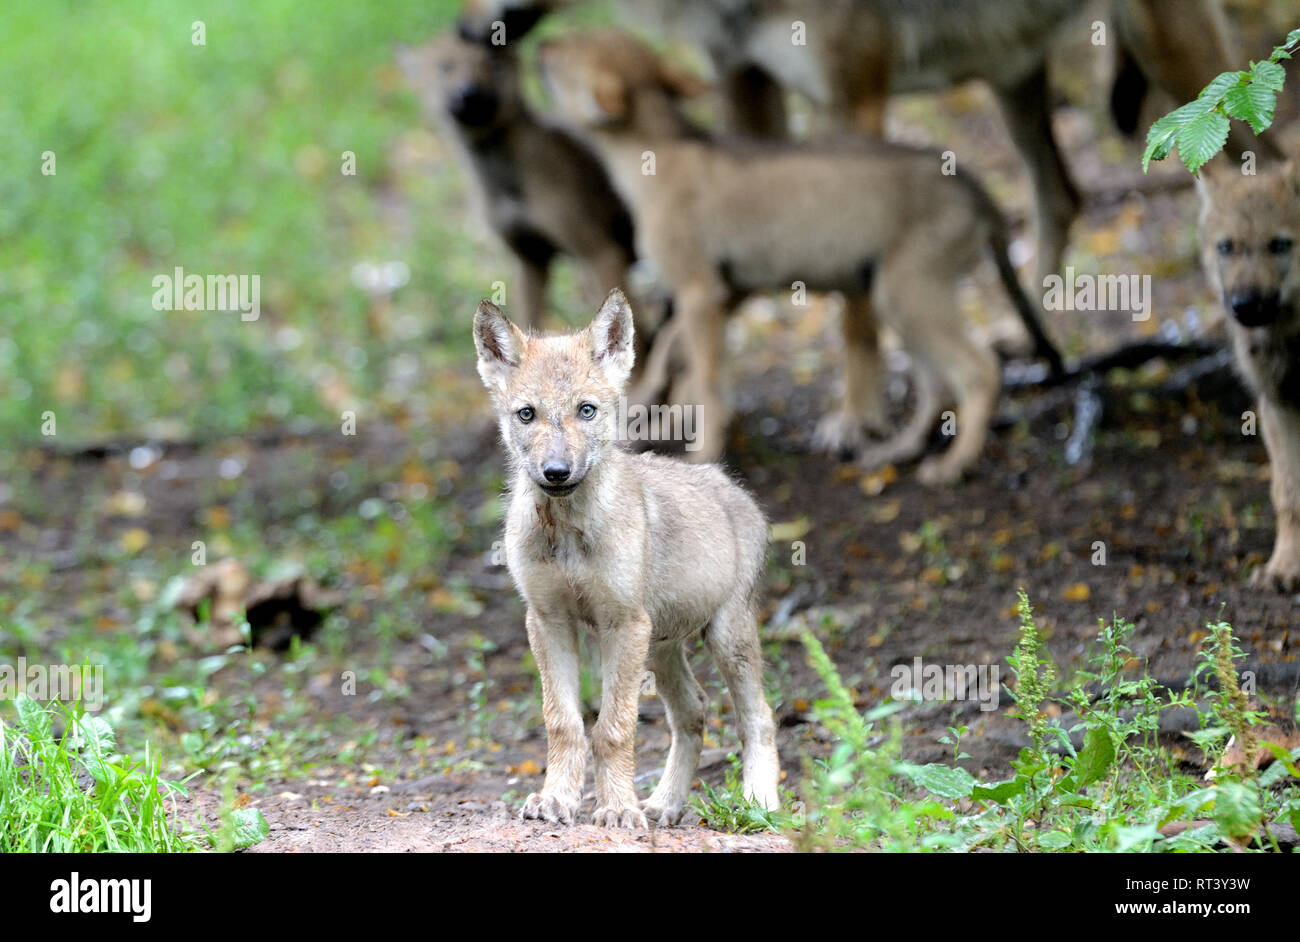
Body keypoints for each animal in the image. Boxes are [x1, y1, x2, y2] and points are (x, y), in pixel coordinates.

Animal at [397, 32, 636, 329]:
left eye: (493, 62)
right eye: (444, 67)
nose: (469, 93)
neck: (506, 185)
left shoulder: (599, 253)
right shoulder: (528, 261)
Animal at [475, 288, 781, 827]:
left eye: (587, 410)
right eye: (526, 414)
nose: (557, 471)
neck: (567, 532)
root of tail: (732, 486)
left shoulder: (621, 622)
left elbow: (613, 729)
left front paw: (616, 807)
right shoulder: (548, 620)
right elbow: (564, 723)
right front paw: (557, 799)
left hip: (724, 637)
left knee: (758, 717)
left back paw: (758, 804)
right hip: (660, 647)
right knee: (694, 712)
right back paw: (663, 804)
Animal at [538, 31, 1063, 483]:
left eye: (565, 58)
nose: (544, 45)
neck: (656, 154)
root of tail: (979, 192)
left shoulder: (701, 290)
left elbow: (704, 379)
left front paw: (702, 453)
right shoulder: (729, 289)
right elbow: (675, 347)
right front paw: (651, 403)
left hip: (909, 296)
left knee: (979, 372)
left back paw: (954, 465)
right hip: (904, 302)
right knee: (938, 385)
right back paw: (897, 452)